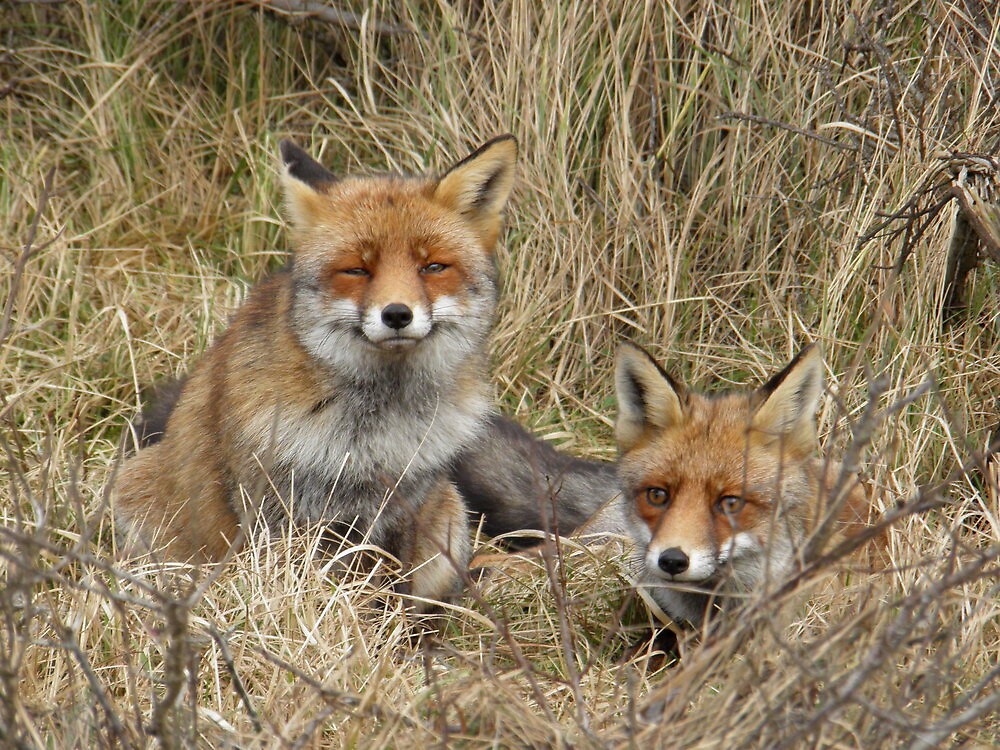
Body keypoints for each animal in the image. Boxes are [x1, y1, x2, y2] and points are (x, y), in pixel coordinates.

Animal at [117, 135, 621, 605]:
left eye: (432, 266)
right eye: (357, 270)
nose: (397, 314)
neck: (376, 433)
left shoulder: (408, 505)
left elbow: (394, 599)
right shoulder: (278, 512)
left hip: (449, 513)